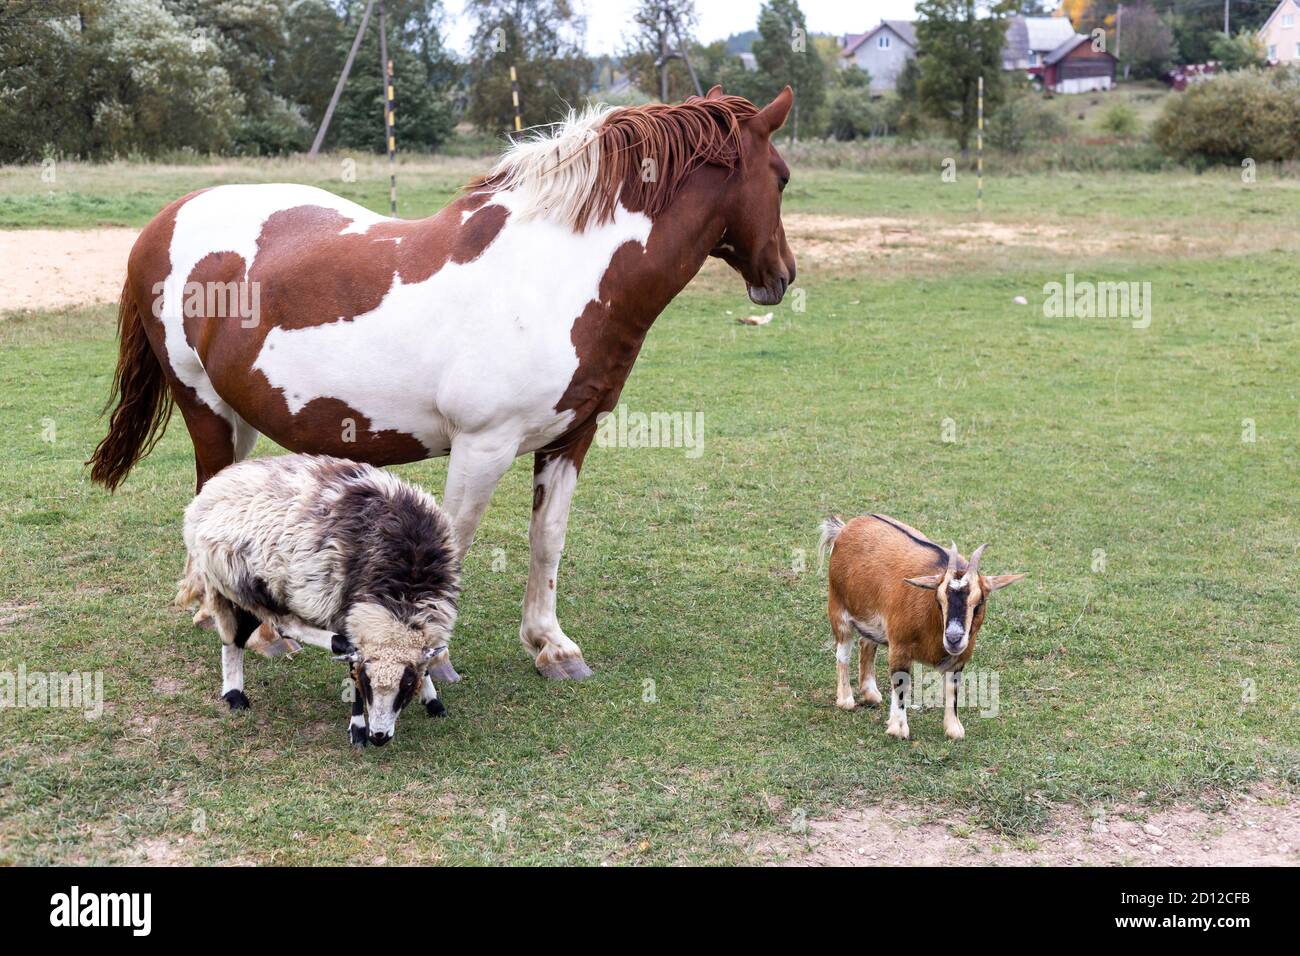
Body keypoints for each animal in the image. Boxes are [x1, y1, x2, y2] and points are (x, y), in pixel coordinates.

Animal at [88, 85, 797, 681]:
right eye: (783, 177)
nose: (782, 275)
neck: (555, 275)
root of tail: (164, 221)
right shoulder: (482, 446)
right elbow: (453, 543)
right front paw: (430, 659)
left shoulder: (570, 438)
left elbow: (548, 541)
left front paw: (550, 645)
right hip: (204, 406)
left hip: (239, 418)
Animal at [181, 454, 460, 748]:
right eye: (366, 682)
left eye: (406, 684)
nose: (379, 737)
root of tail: (206, 494)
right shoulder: (348, 613)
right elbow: (352, 664)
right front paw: (358, 729)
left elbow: (425, 659)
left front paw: (432, 701)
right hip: (245, 583)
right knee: (281, 625)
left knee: (237, 635)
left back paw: (234, 693)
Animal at [819, 513, 1024, 740]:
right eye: (938, 599)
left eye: (979, 602)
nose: (953, 638)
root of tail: (845, 528)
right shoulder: (899, 646)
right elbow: (901, 684)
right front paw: (898, 728)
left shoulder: (960, 657)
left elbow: (953, 689)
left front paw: (954, 728)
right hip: (838, 609)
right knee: (843, 653)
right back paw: (846, 699)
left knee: (867, 643)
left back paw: (870, 693)